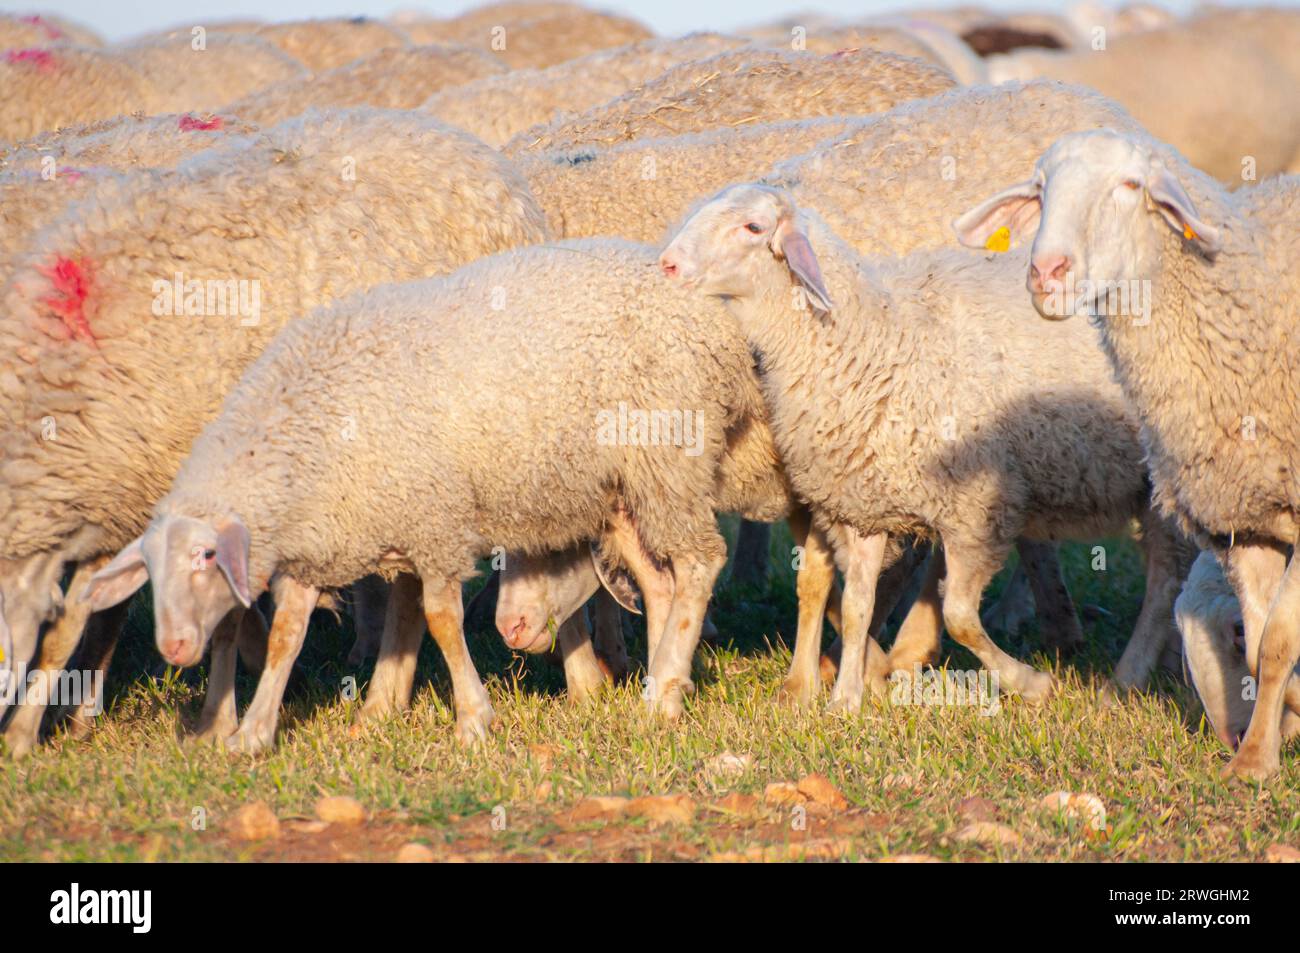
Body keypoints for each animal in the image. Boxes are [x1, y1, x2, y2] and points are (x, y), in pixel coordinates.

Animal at [0, 108, 548, 756]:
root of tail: (468, 149)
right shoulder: (112, 505)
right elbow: (75, 623)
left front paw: (215, 718)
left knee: (412, 589)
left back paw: (380, 700)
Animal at [82, 238, 774, 749]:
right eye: (150, 572)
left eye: (205, 559)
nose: (174, 649)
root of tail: (718, 321)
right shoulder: (329, 538)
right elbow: (288, 635)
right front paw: (253, 732)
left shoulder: (433, 520)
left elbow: (441, 619)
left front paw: (473, 719)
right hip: (626, 487)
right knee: (659, 581)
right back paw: (663, 685)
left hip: (669, 457)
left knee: (699, 562)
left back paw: (666, 693)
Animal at [658, 183, 1184, 711]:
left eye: (753, 227)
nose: (667, 264)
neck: (875, 339)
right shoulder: (864, 501)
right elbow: (857, 604)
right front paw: (845, 698)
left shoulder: (978, 509)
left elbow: (960, 616)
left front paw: (1031, 683)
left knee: (1164, 582)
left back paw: (1126, 680)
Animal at [953, 128, 1300, 780]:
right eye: (1040, 188)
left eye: (1132, 185)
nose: (1046, 271)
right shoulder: (1245, 516)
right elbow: (1266, 645)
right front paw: (1259, 757)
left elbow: (1281, 637)